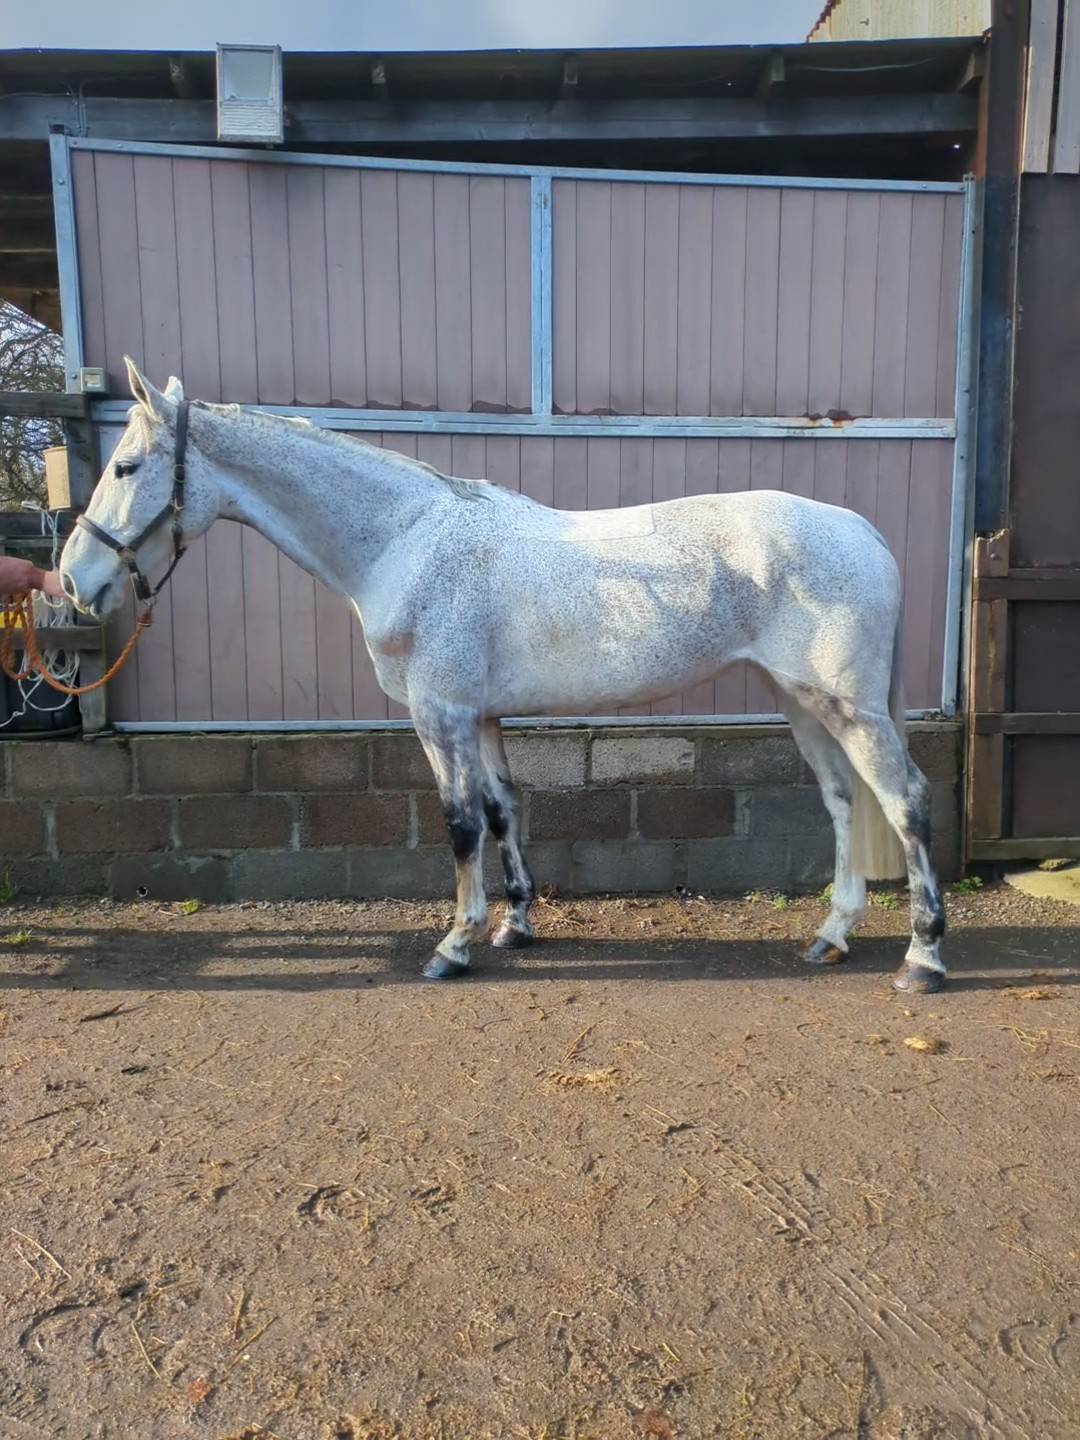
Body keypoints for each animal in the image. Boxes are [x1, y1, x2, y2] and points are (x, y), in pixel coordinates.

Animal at [59, 359, 947, 994]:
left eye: (128, 466)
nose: (72, 580)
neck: (405, 540)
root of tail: (861, 528)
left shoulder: (439, 712)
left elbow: (458, 824)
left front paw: (453, 944)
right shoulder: (481, 715)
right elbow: (501, 811)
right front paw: (515, 924)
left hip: (847, 705)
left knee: (903, 799)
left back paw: (923, 960)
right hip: (798, 700)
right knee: (842, 798)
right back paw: (831, 936)